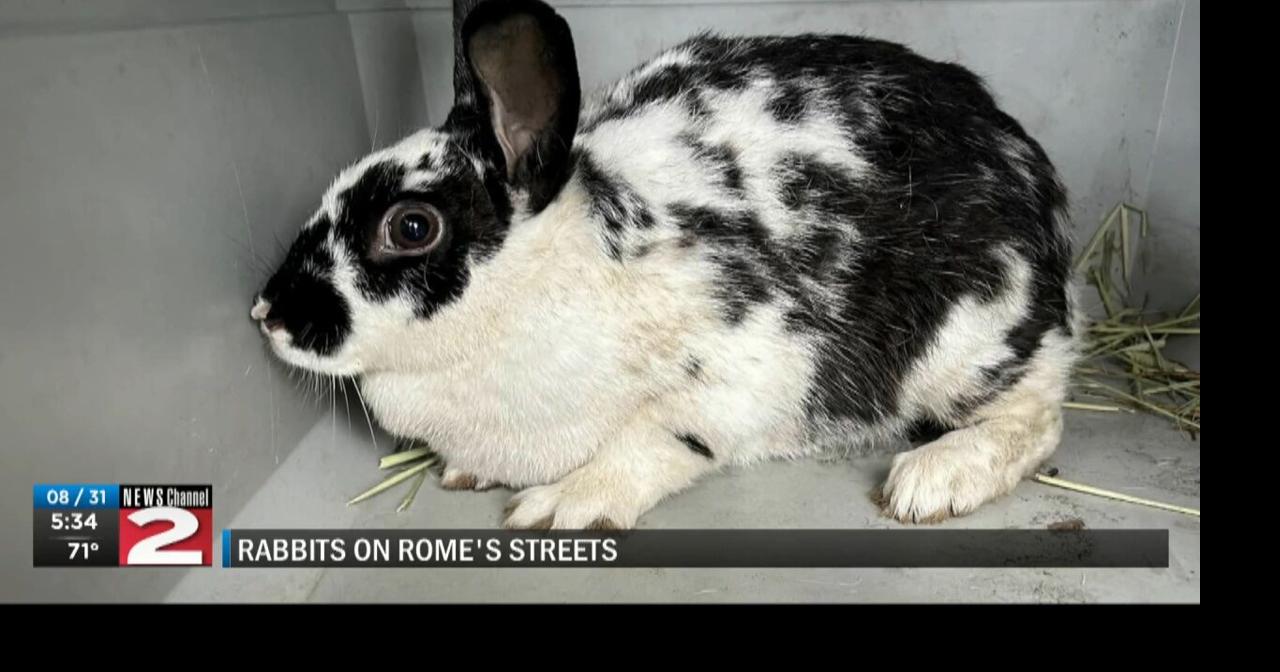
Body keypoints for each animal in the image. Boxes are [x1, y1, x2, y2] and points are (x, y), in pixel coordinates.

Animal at [251, 0, 1080, 529]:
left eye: (412, 226)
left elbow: (653, 444)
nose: (267, 315)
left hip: (969, 343)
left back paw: (932, 481)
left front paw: (560, 507)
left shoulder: (738, 375)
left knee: (1038, 415)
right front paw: (467, 472)